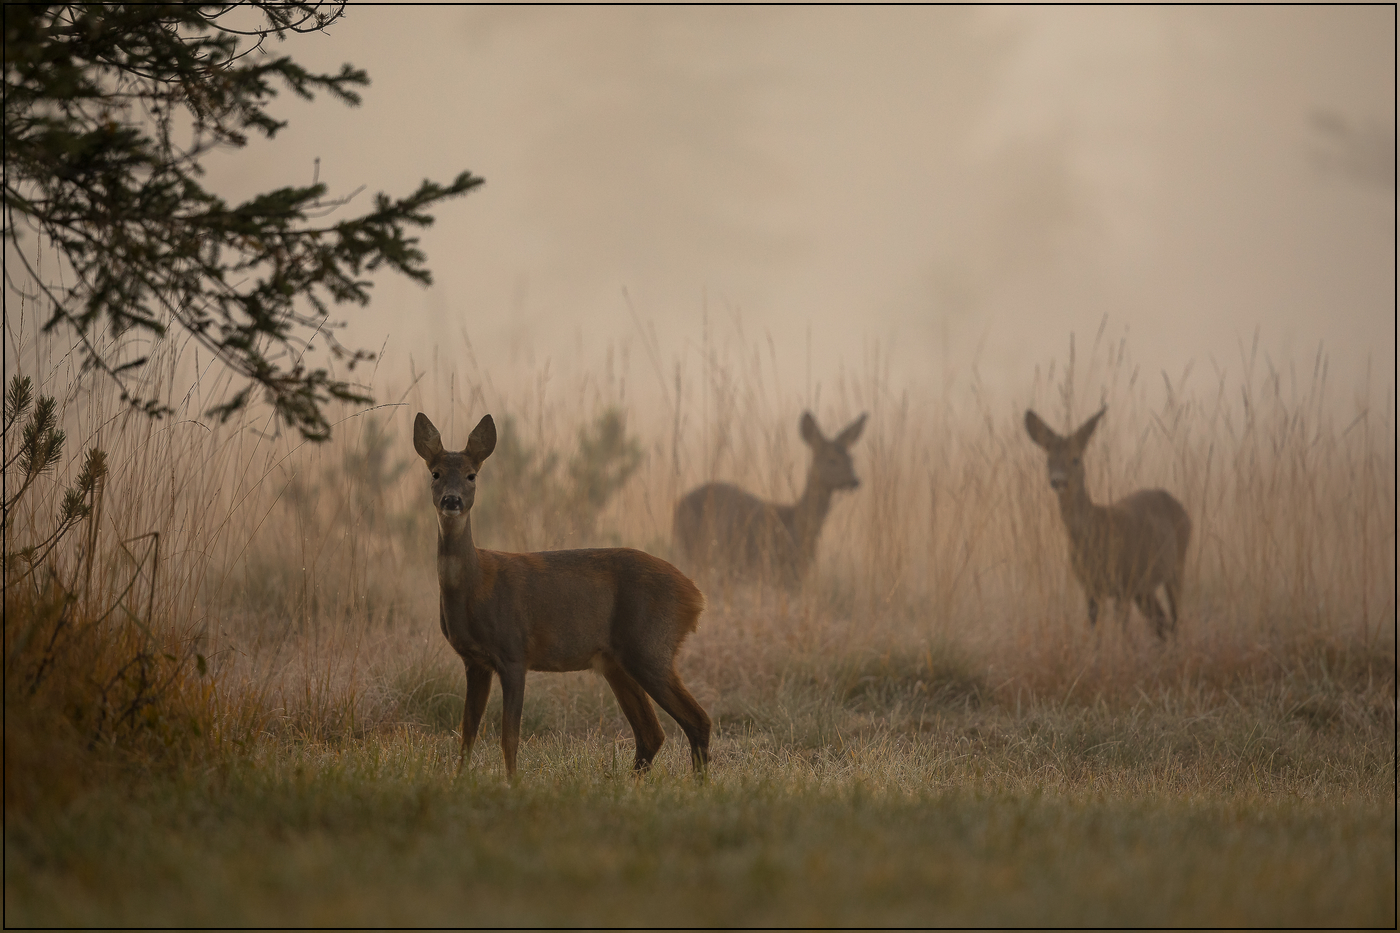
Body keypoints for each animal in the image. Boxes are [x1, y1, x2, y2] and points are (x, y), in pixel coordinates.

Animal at [408, 411, 705, 773]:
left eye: (471, 475)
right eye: (435, 473)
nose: (452, 500)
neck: (475, 585)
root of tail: (696, 597)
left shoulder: (513, 652)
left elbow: (509, 738)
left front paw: (513, 781)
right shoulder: (474, 661)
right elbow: (467, 735)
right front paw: (460, 780)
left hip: (651, 646)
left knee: (697, 721)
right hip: (616, 661)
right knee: (652, 732)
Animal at [674, 409, 862, 585]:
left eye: (851, 459)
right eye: (832, 460)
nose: (855, 481)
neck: (796, 524)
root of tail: (677, 505)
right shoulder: (771, 569)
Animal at [1019, 406, 1192, 638]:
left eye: (1075, 459)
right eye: (1049, 460)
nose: (1058, 481)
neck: (1095, 532)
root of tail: (1181, 507)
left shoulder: (1124, 584)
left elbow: (1122, 634)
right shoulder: (1091, 587)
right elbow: (1097, 636)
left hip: (1176, 565)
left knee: (1174, 618)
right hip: (1144, 588)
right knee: (1161, 622)